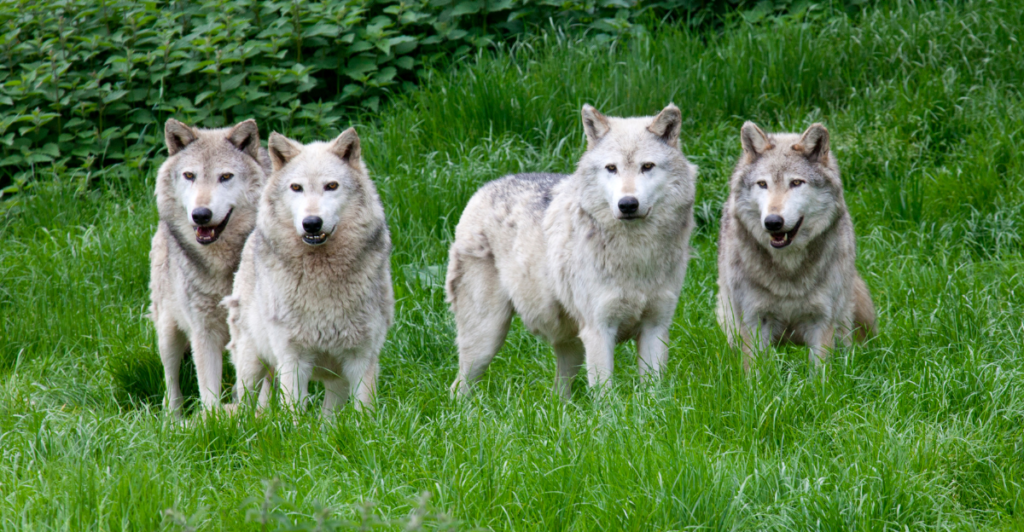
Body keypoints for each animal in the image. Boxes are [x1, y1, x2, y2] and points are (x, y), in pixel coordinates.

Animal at [149, 118, 270, 413]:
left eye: (225, 177)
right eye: (189, 175)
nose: (201, 215)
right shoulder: (203, 332)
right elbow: (208, 392)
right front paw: (214, 422)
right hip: (168, 331)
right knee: (171, 382)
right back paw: (173, 418)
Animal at [224, 128, 393, 414]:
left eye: (331, 186)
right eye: (296, 187)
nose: (312, 223)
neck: (321, 274)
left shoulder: (363, 357)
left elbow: (364, 413)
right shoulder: (293, 358)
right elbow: (294, 412)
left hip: (335, 380)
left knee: (328, 417)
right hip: (251, 364)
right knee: (245, 408)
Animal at [446, 104, 697, 399]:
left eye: (647, 167)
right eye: (611, 168)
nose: (627, 204)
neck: (637, 254)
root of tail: (485, 187)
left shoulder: (655, 328)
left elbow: (654, 394)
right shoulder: (599, 331)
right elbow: (605, 398)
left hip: (571, 346)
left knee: (558, 392)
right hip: (486, 339)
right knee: (457, 388)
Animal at [716, 121, 877, 374]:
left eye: (796, 183)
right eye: (763, 184)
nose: (773, 222)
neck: (788, 271)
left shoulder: (822, 320)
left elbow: (820, 374)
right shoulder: (754, 320)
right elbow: (755, 374)